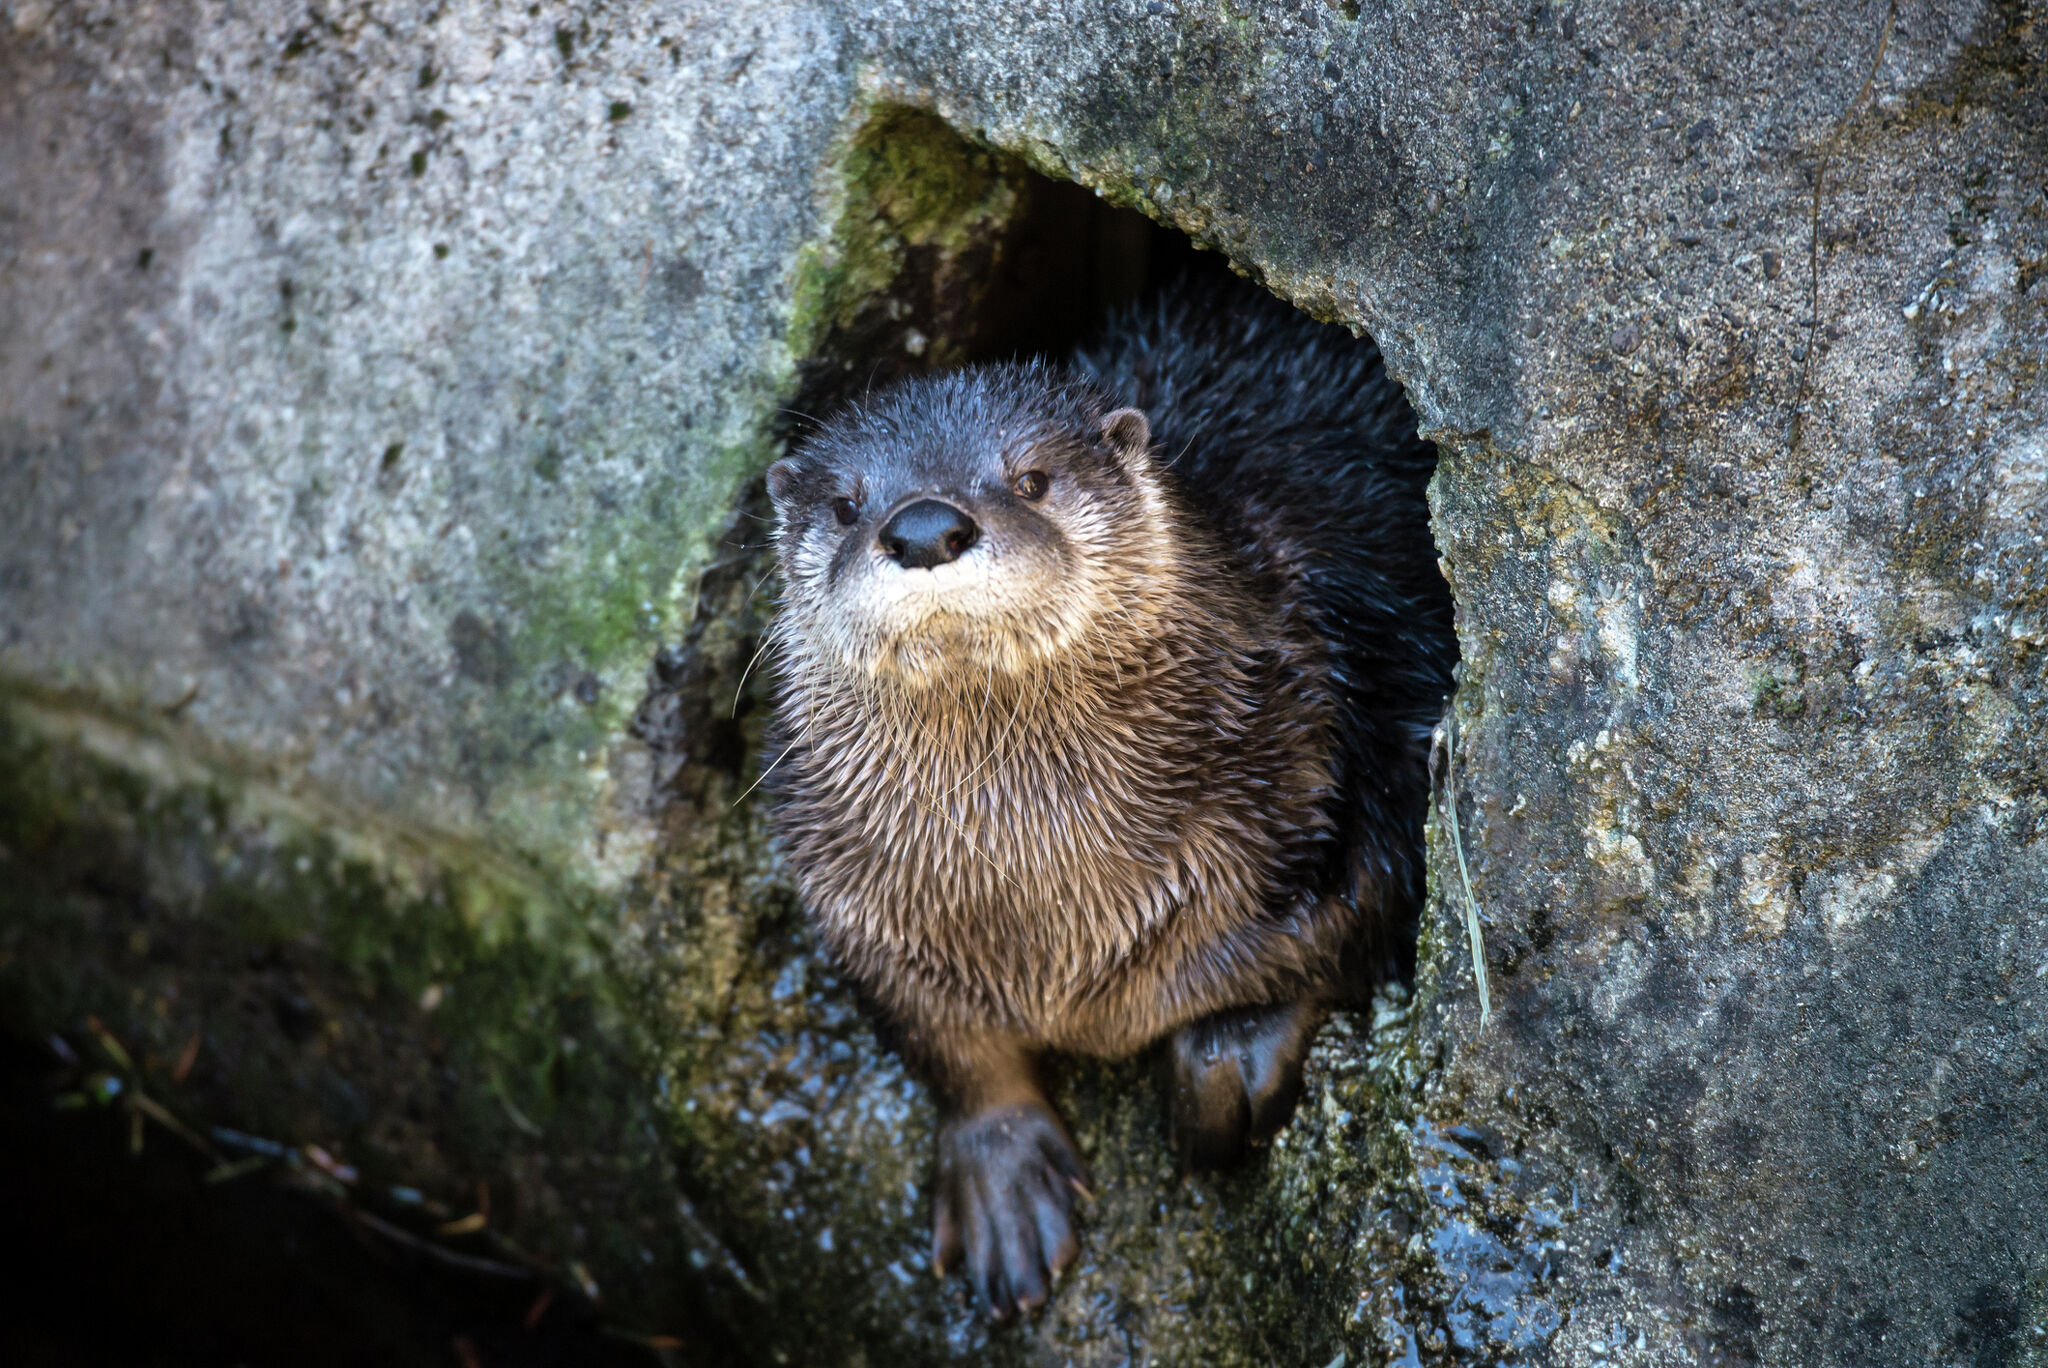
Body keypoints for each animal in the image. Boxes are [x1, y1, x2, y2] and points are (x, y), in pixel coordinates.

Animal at [763, 265, 1455, 1318]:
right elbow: (934, 1035)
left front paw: (1231, 1051)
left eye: (1031, 478)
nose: (922, 527)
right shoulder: (846, 890)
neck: (1047, 911)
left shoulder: (1372, 722)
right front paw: (1003, 1177)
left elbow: (1352, 921)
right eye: (845, 504)